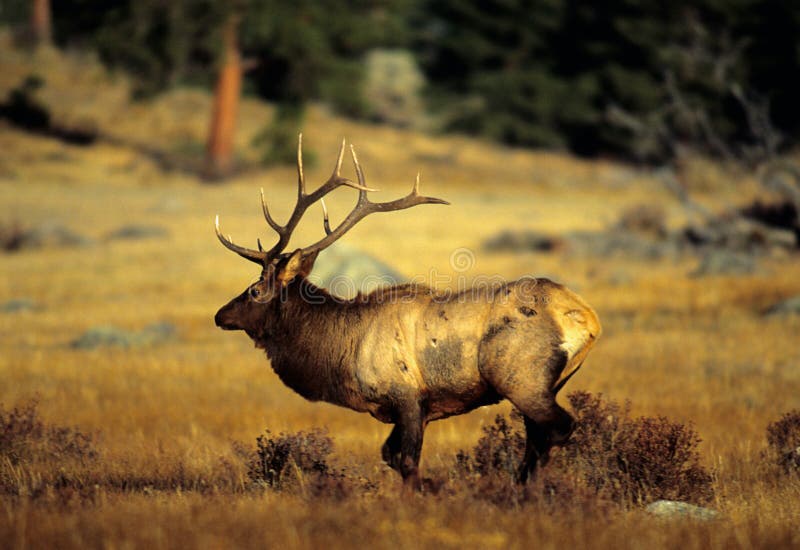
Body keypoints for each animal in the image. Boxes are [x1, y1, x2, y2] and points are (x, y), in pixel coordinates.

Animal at [214, 136, 601, 490]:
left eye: (254, 290)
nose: (219, 315)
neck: (342, 352)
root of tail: (587, 317)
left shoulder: (408, 397)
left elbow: (407, 461)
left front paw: (426, 492)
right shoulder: (418, 410)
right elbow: (390, 456)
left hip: (520, 377)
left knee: (557, 429)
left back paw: (527, 491)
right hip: (550, 382)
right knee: (539, 435)